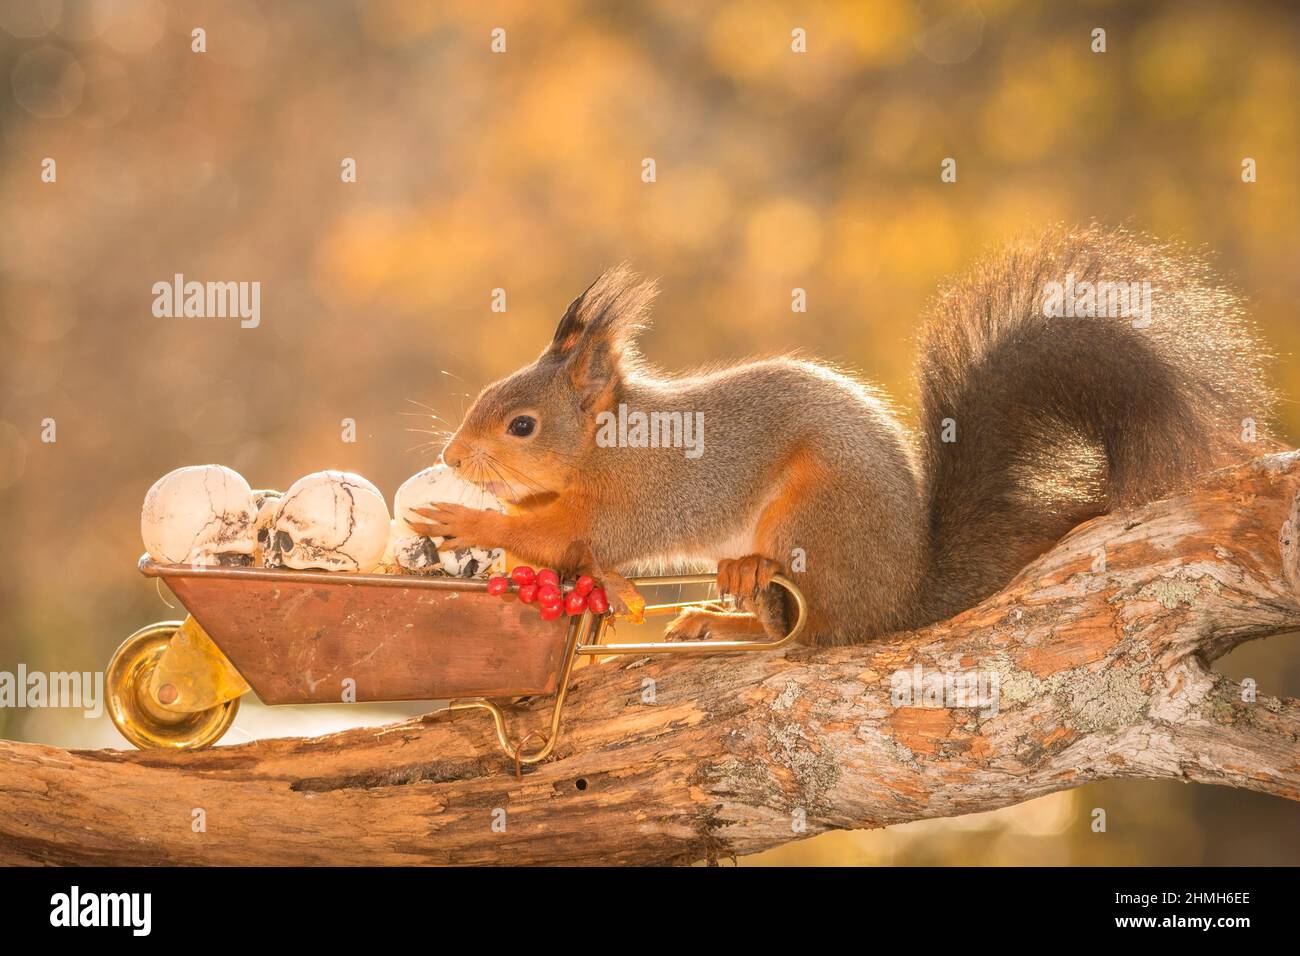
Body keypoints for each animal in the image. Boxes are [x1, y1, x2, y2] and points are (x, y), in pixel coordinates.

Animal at [409, 225, 1274, 646]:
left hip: (811, 519)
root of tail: (904, 593)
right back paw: (719, 610)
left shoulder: (638, 498)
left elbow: (564, 536)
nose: (451, 457)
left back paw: (745, 600)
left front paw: (462, 520)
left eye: (522, 424)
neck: (607, 442)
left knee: (816, 631)